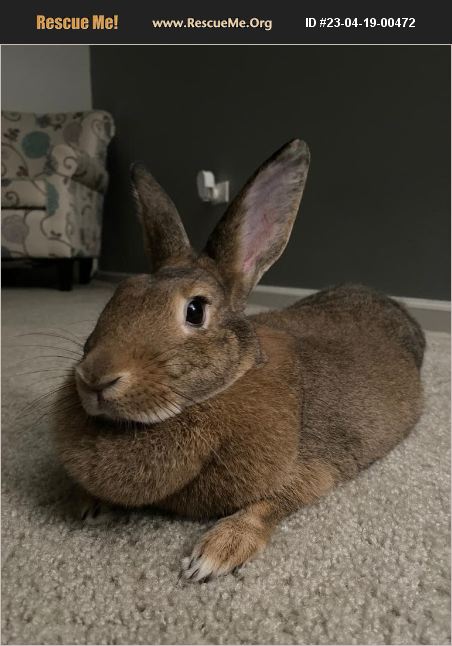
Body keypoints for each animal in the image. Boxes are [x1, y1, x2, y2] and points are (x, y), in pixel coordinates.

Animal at [52, 139, 425, 582]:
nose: (94, 379)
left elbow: (268, 507)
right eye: (118, 296)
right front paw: (88, 503)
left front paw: (214, 555)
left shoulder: (310, 471)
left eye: (195, 310)